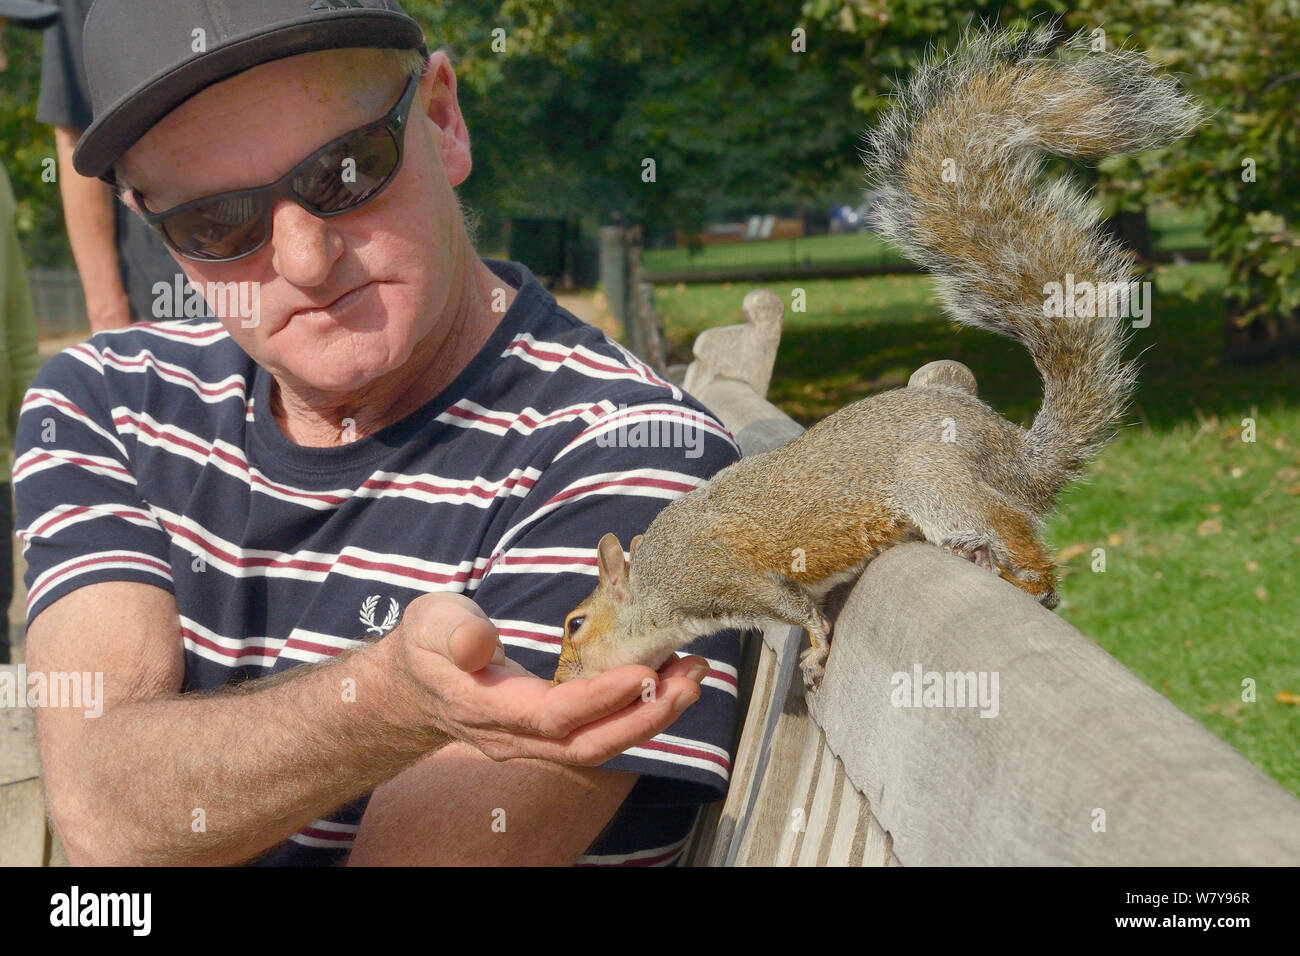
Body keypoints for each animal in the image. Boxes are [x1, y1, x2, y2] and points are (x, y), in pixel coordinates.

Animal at [553, 25, 1203, 689]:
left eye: (575, 624)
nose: (558, 679)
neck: (657, 581)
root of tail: (1020, 454)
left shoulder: (729, 576)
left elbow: (794, 608)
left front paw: (815, 648)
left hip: (937, 479)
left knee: (1021, 544)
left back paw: (1024, 576)